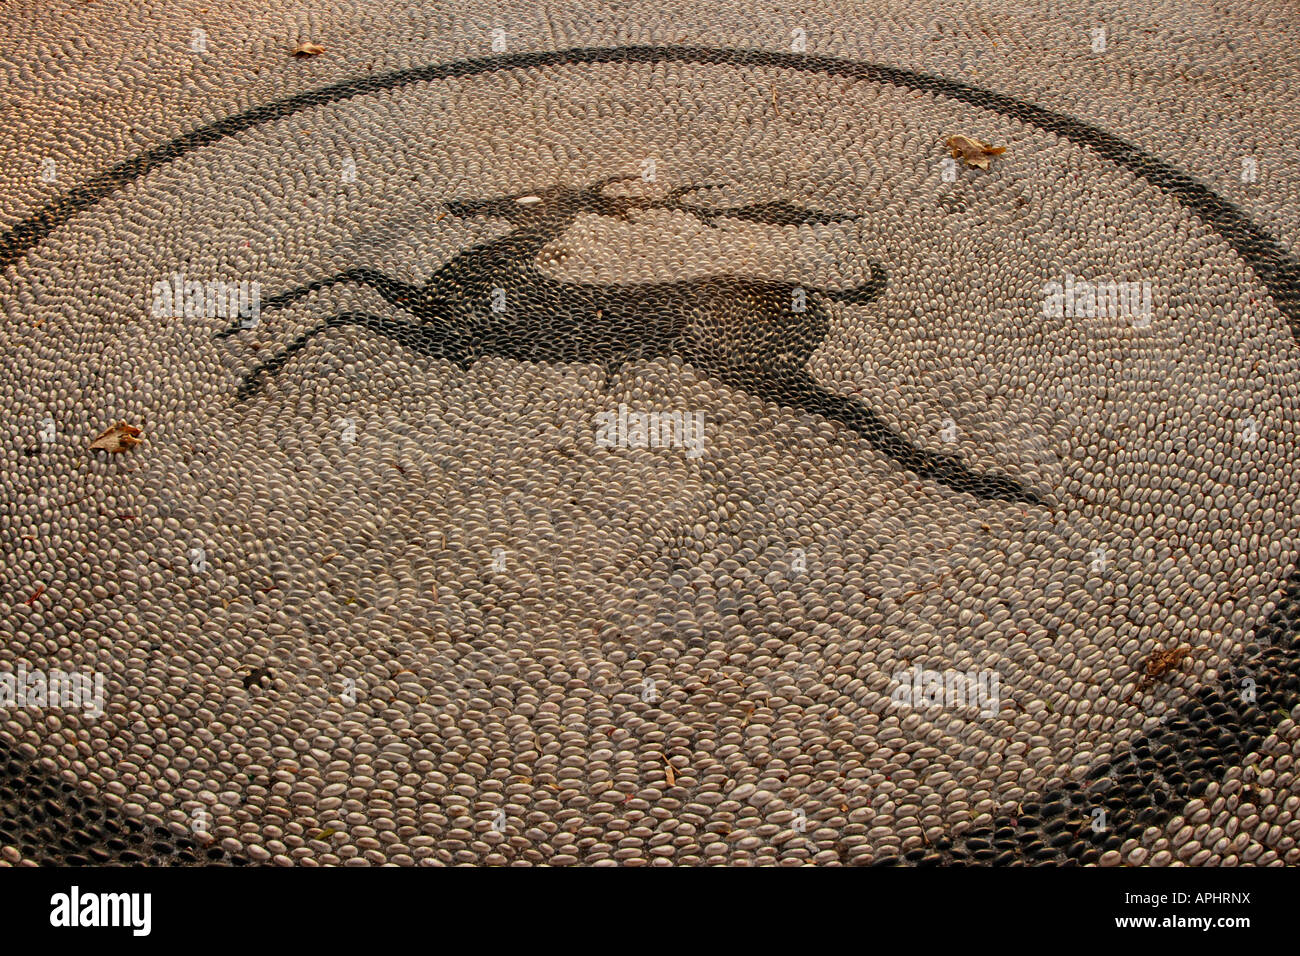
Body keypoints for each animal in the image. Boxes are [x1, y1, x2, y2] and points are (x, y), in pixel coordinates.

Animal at [216, 174, 1039, 504]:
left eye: (531, 195)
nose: (459, 204)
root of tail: (815, 300)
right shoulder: (437, 322)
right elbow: (350, 280)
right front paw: (243, 322)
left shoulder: (452, 342)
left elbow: (346, 305)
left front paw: (256, 370)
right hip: (760, 363)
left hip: (747, 366)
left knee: (856, 415)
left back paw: (989, 484)